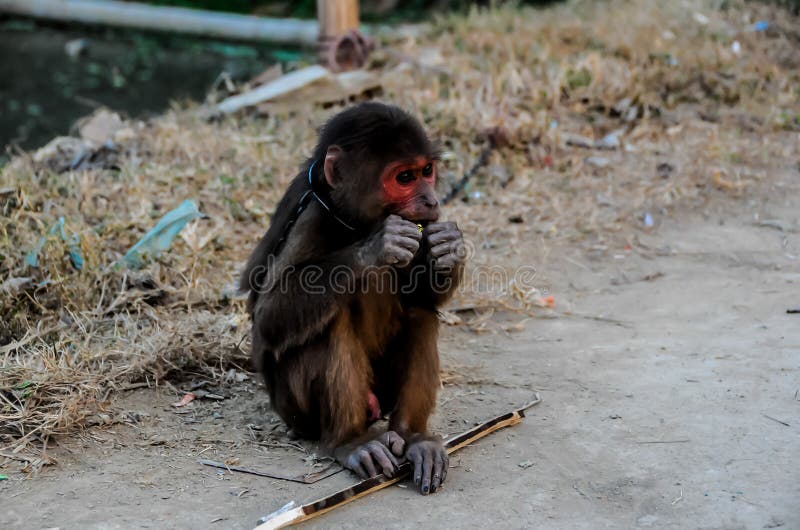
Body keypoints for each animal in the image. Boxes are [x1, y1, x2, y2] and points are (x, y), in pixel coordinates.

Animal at [239, 102, 464, 495]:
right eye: (405, 178)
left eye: (427, 171)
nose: (432, 200)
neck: (357, 221)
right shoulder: (310, 218)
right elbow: (268, 318)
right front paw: (376, 247)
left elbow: (422, 296)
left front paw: (449, 246)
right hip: (297, 413)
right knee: (329, 324)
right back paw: (350, 441)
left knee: (420, 315)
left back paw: (413, 437)